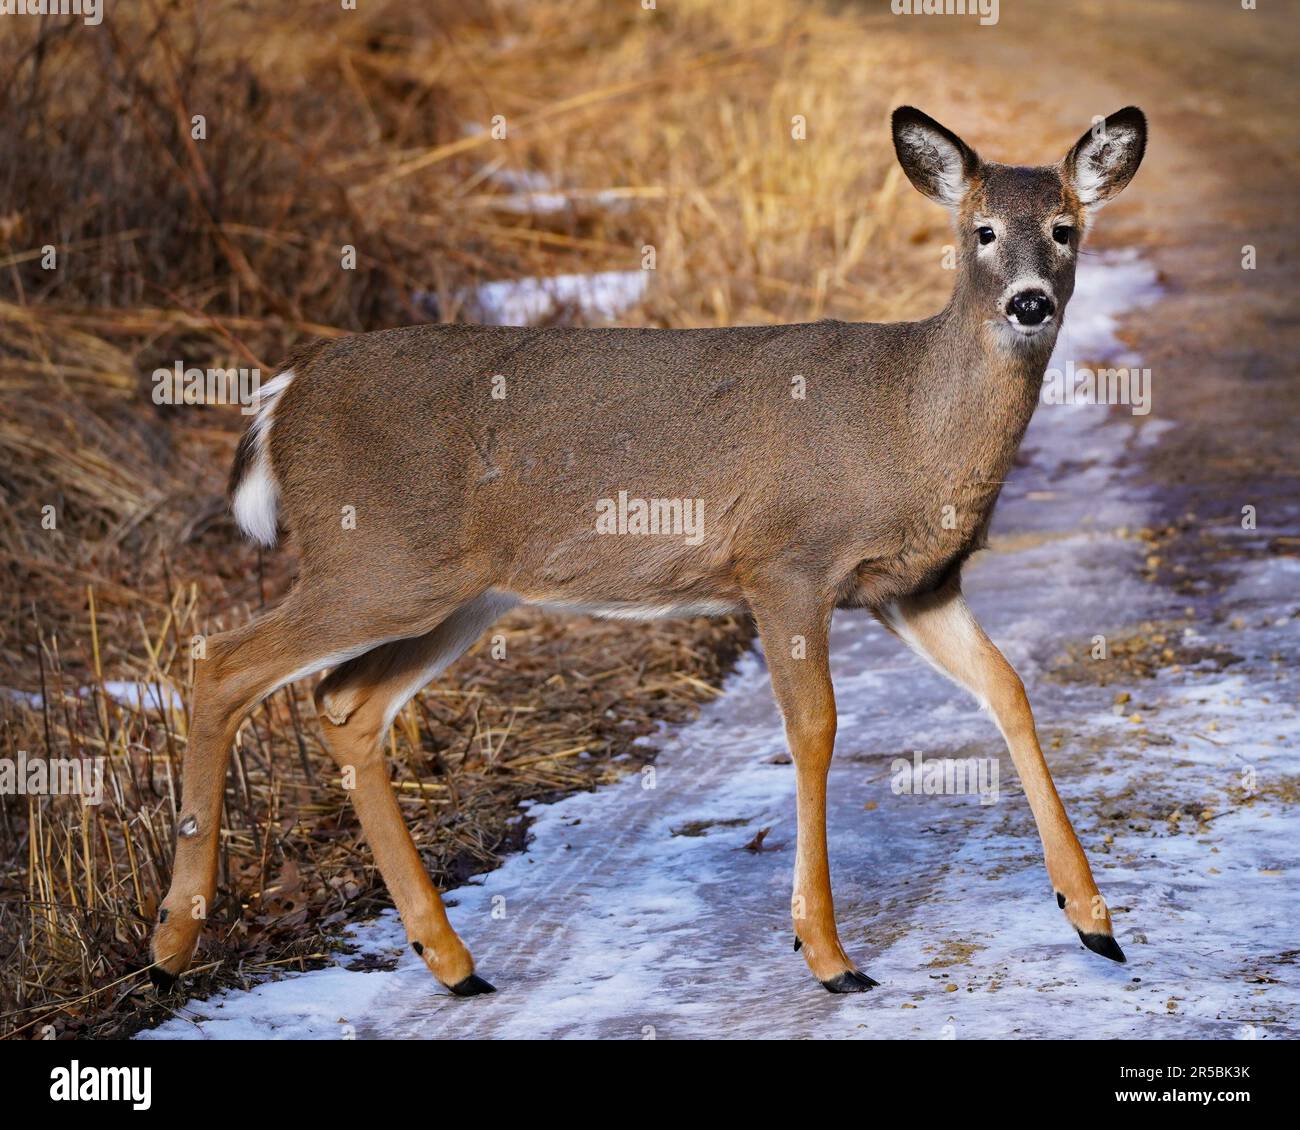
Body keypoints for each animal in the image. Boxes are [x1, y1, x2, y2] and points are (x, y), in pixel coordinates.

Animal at [151, 106, 1146, 997]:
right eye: (982, 230)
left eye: (1065, 228)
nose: (1029, 301)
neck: (907, 423)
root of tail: (282, 394)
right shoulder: (783, 562)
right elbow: (815, 729)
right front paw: (827, 955)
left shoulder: (916, 585)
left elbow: (1009, 689)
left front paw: (1093, 920)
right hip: (377, 560)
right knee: (221, 662)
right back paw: (171, 941)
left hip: (457, 592)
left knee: (345, 702)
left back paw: (453, 963)